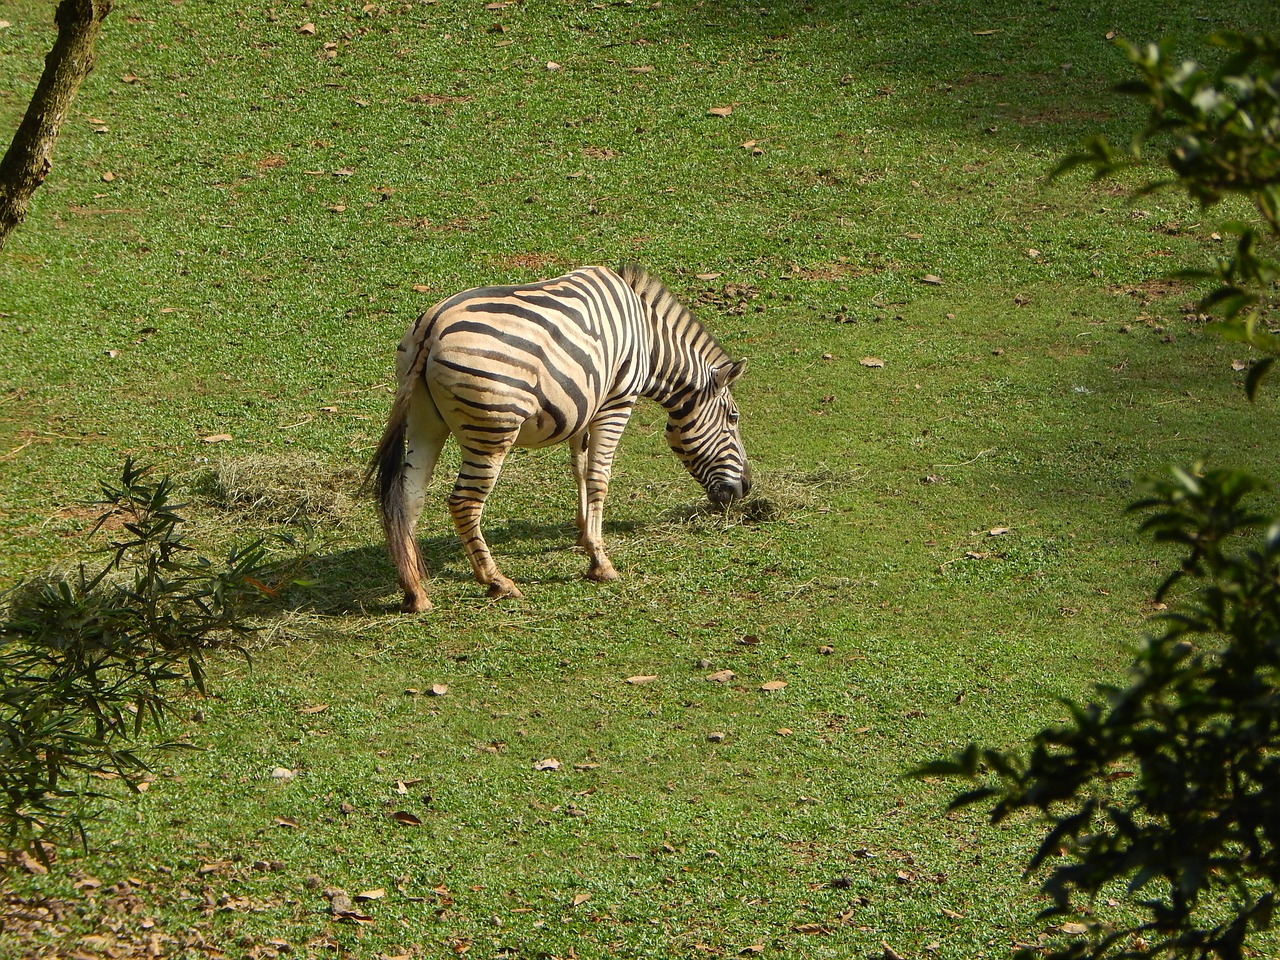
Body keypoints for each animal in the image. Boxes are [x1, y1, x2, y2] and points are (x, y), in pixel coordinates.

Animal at [368, 264, 752, 612]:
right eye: (733, 418)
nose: (745, 488)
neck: (650, 340)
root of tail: (431, 326)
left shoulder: (586, 403)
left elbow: (579, 467)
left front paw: (584, 534)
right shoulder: (616, 402)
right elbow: (599, 477)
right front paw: (600, 562)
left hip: (424, 420)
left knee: (408, 496)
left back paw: (414, 591)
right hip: (491, 431)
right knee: (464, 502)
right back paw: (497, 582)